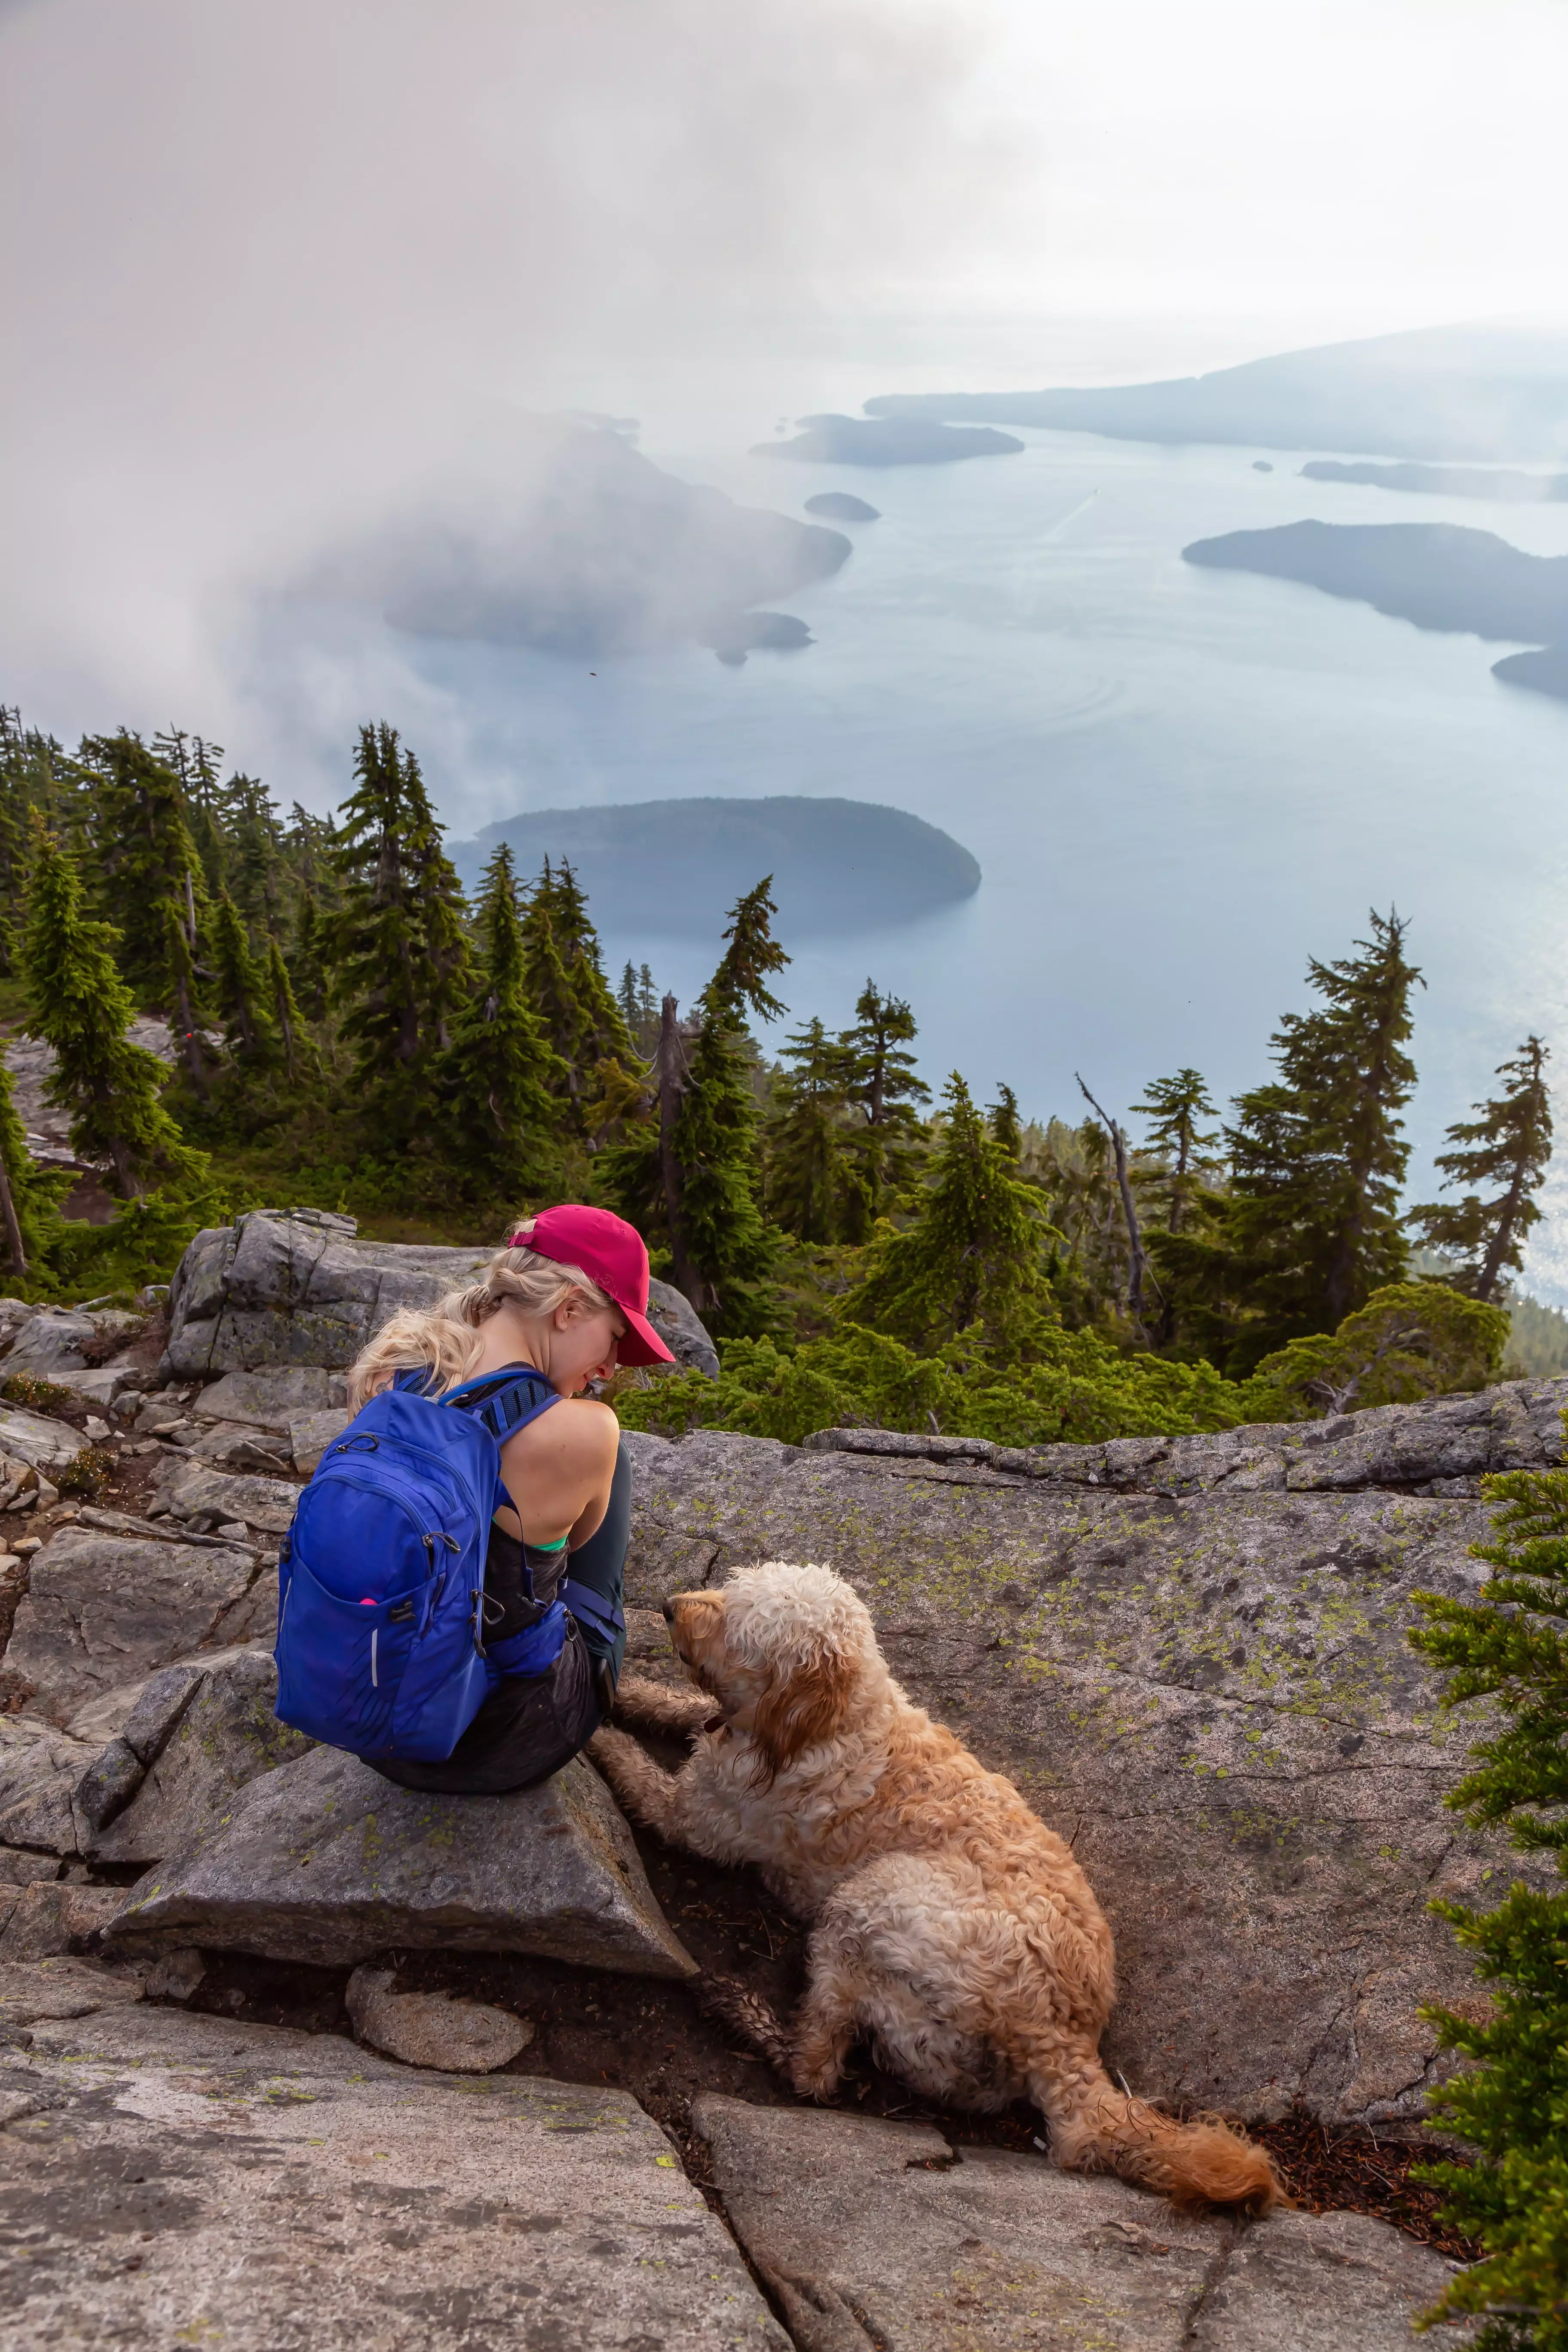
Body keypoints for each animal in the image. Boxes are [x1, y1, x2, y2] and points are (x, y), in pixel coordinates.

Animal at [594, 1562, 1279, 2201]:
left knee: (816, 2070)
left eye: (736, 1627)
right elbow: (679, 1703)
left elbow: (638, 1773)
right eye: (732, 1587)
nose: (668, 1607)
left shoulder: (694, 1820)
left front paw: (600, 1734)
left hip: (871, 1901)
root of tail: (1062, 2040)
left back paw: (742, 2010)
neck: (830, 1723)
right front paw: (630, 1692)